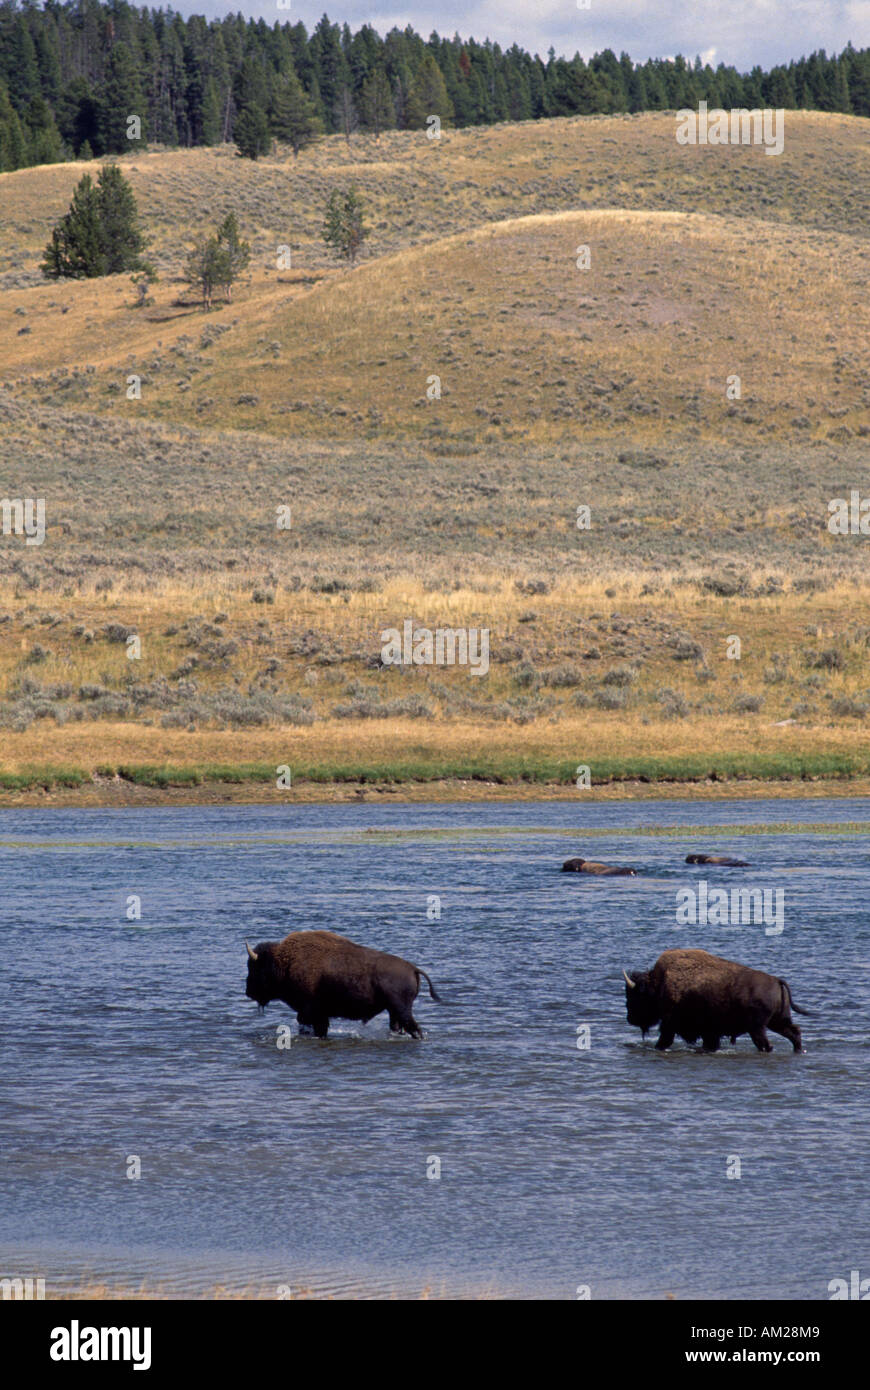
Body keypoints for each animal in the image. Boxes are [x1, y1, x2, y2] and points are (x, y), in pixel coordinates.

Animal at [245, 929, 443, 1039]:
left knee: (415, 1029)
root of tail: (413, 968)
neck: (283, 963)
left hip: (402, 1010)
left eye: (254, 968)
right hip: (394, 1012)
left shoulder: (309, 1013)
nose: (248, 991)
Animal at [623, 948, 809, 1053]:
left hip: (758, 1028)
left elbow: (664, 1040)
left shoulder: (670, 1024)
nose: (630, 1018)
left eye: (635, 996)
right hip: (776, 1022)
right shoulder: (709, 1032)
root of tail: (777, 981)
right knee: (794, 1033)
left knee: (766, 1044)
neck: (659, 982)